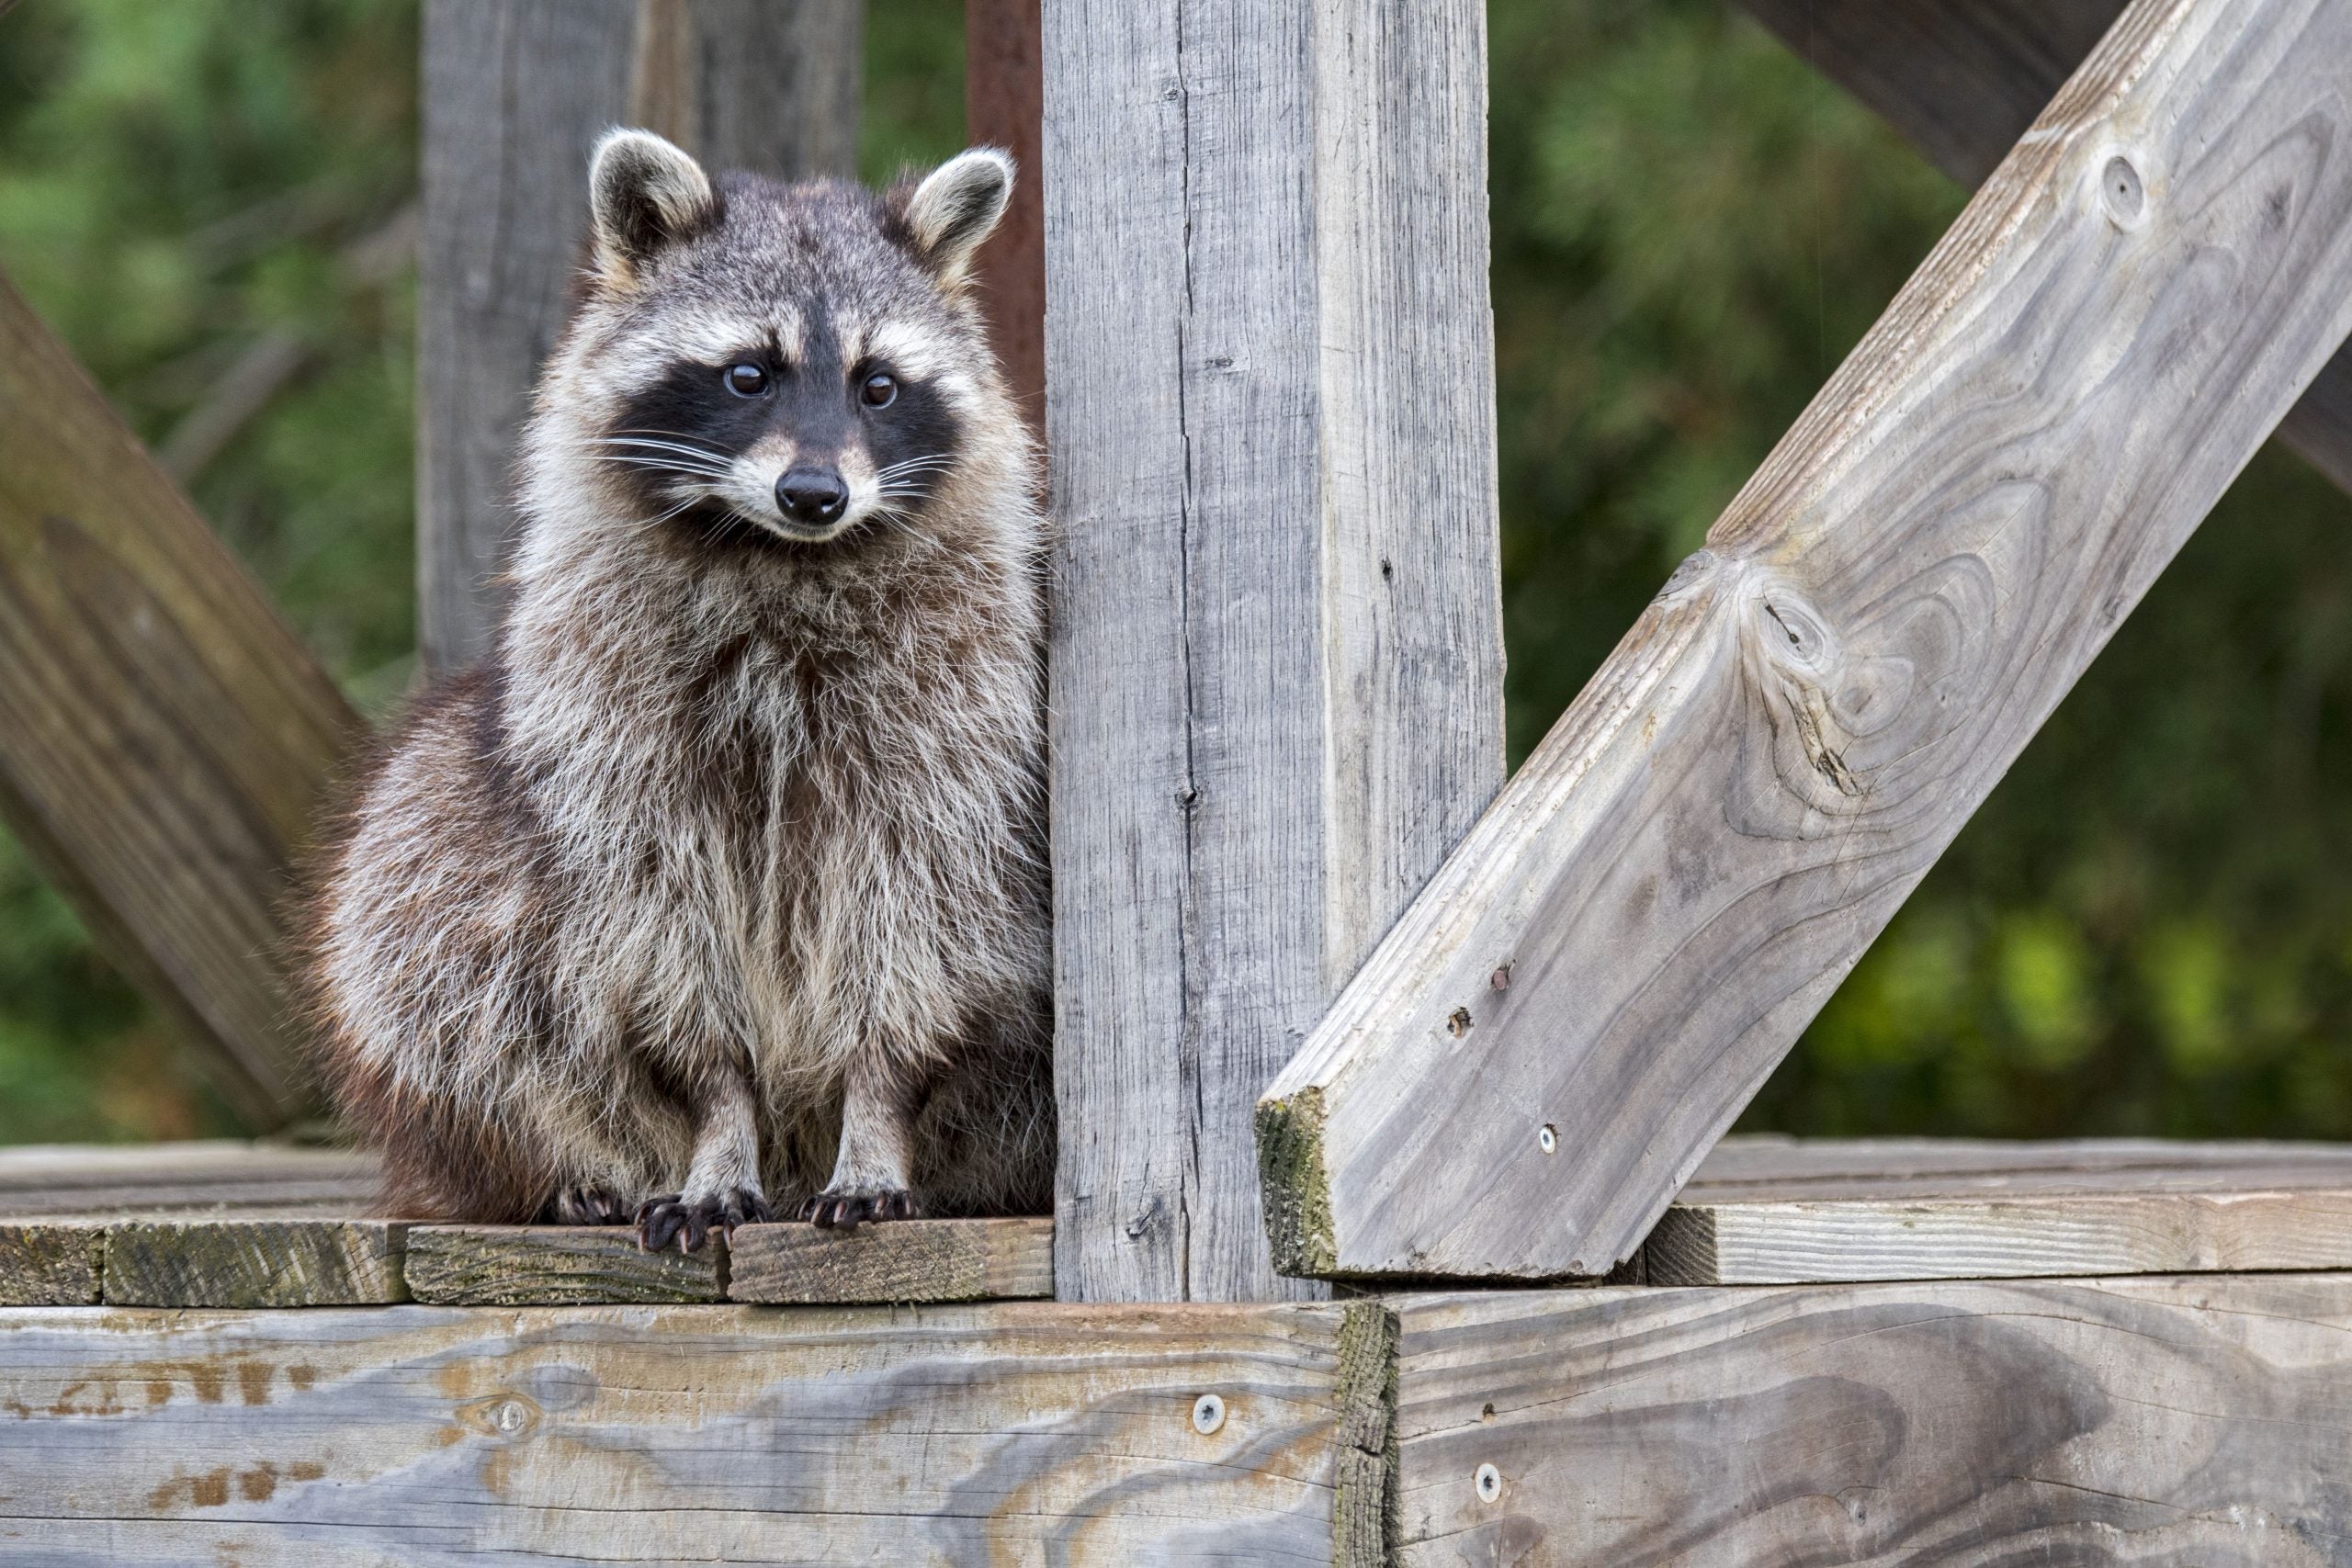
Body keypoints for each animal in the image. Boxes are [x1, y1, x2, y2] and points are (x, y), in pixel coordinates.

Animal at [304, 130, 1051, 1250]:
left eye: (878, 385)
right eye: (748, 375)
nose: (815, 495)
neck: (781, 559)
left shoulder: (953, 733)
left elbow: (917, 921)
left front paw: (878, 1112)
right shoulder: (605, 733)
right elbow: (660, 938)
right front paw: (716, 1126)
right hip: (467, 809)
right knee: (418, 897)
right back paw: (557, 1167)